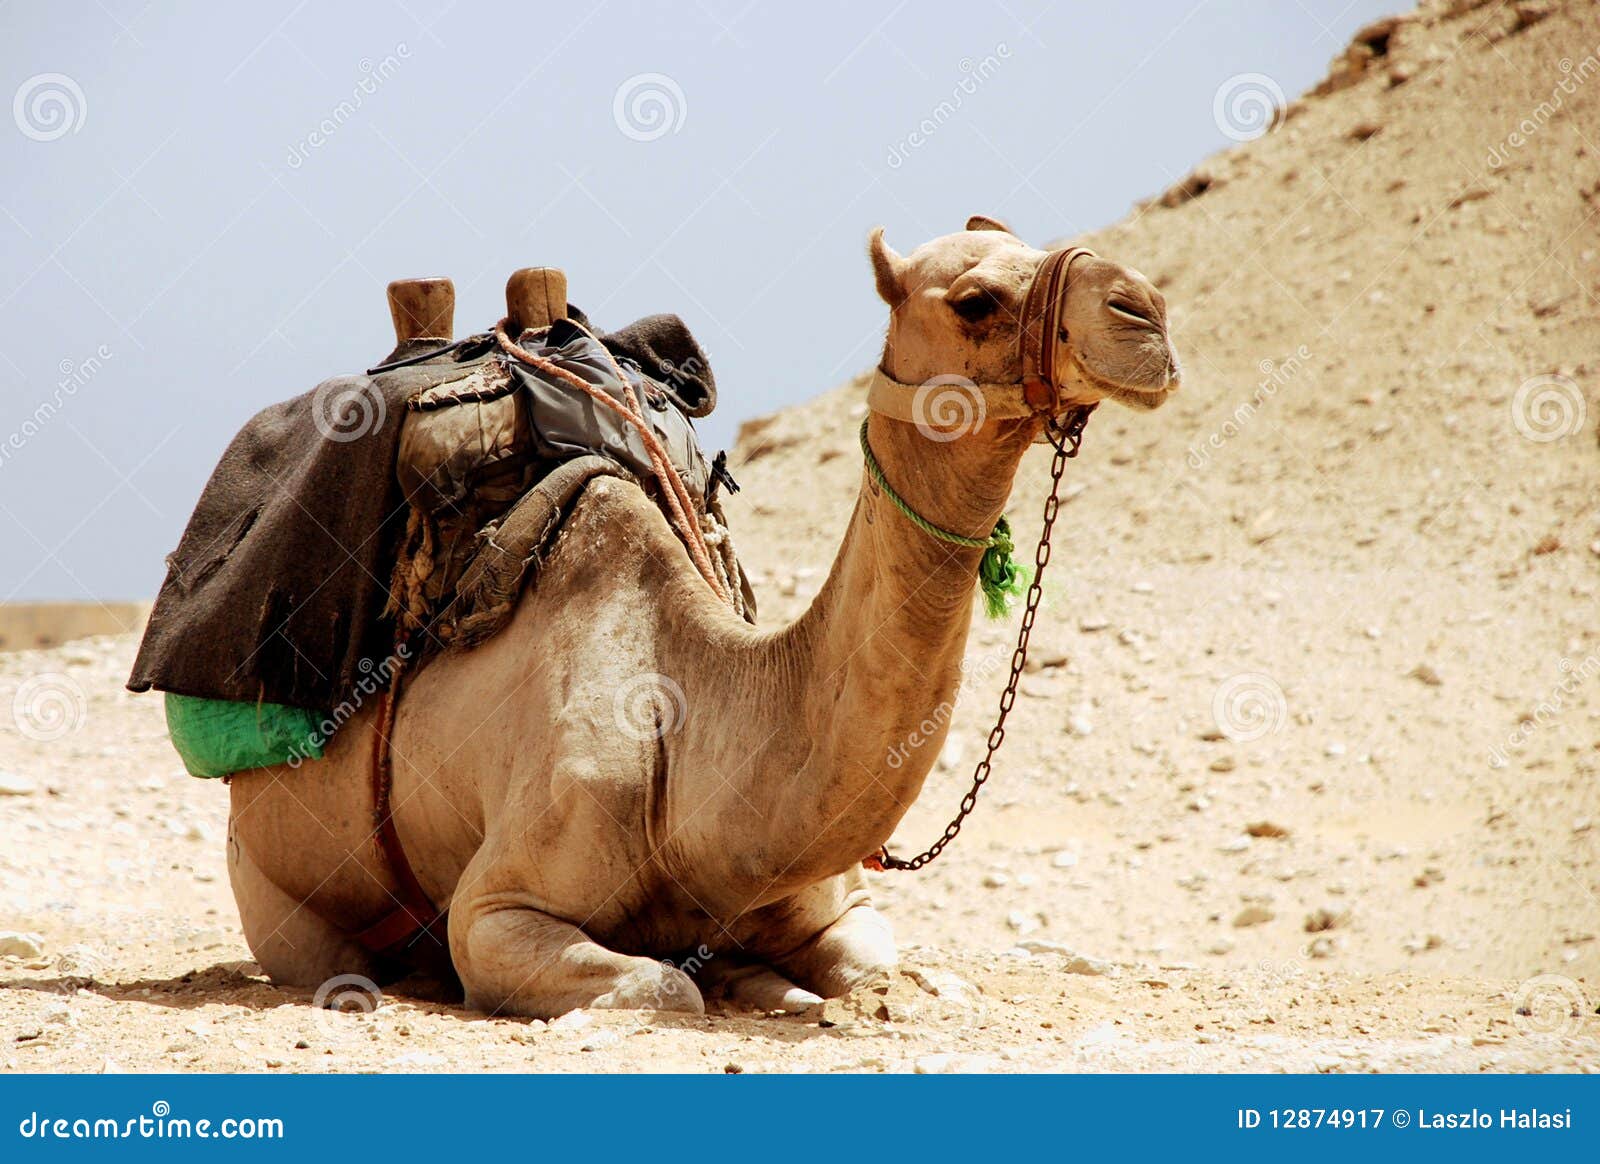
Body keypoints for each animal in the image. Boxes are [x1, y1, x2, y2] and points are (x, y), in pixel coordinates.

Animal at [223, 217, 1179, 1018]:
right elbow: (659, 988)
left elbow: (881, 973)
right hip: (273, 891)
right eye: (976, 300)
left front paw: (782, 983)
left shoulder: (840, 901)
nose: (1146, 314)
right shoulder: (495, 908)